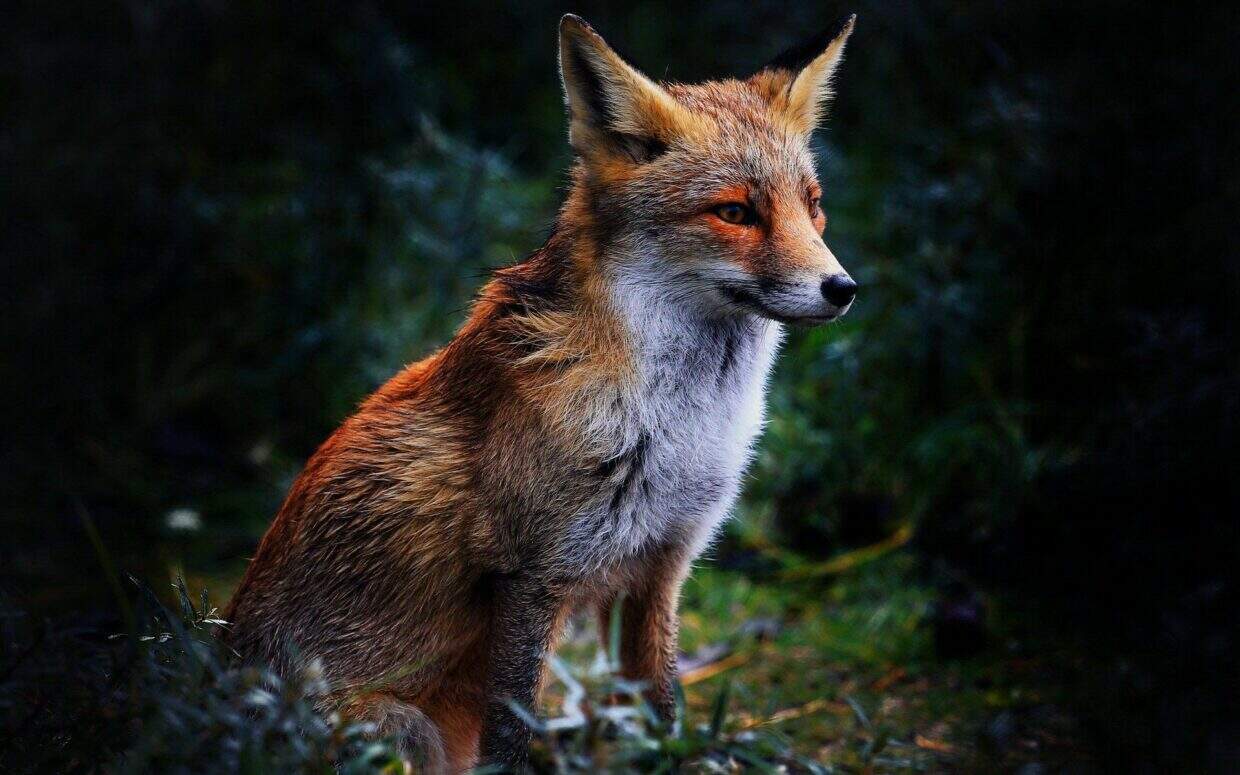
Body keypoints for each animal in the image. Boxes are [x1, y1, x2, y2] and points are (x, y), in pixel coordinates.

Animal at [224, 12, 859, 773]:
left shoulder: (658, 569)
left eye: (814, 207)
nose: (842, 288)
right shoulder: (533, 576)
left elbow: (664, 708)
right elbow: (512, 731)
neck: (678, 426)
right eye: (735, 212)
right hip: (404, 731)